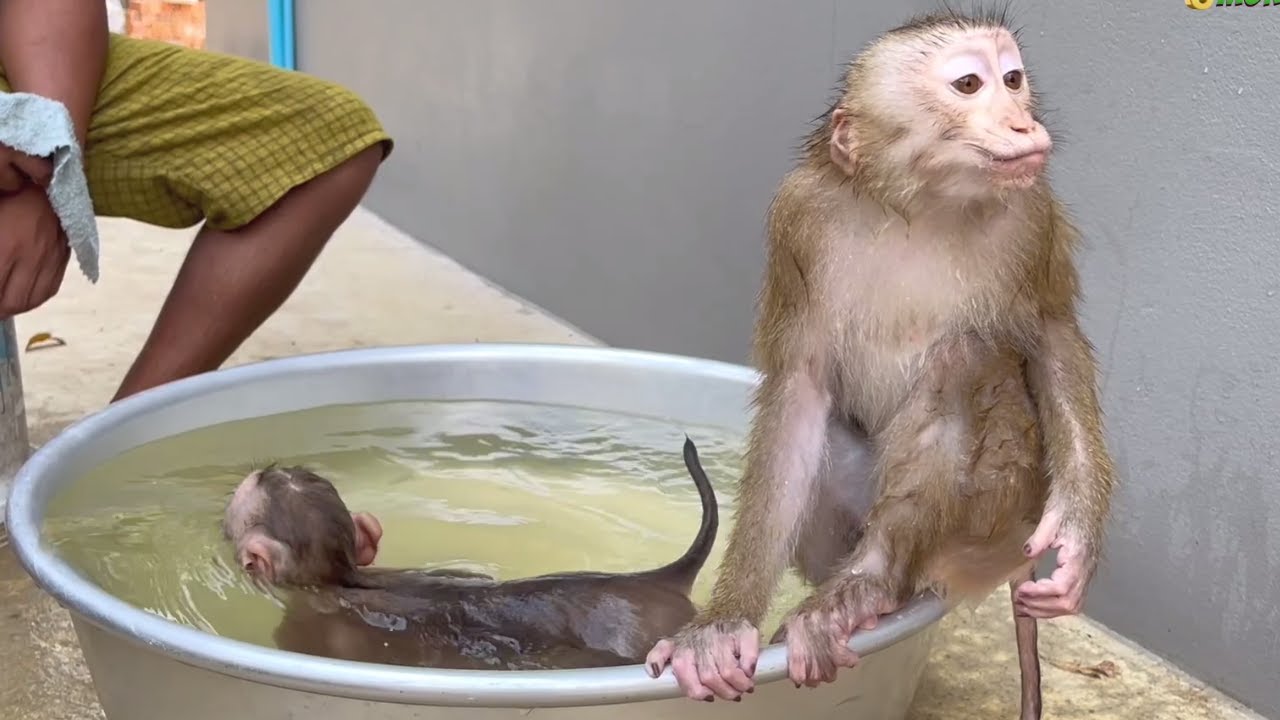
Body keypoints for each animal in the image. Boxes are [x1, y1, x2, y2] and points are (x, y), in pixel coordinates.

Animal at [644, 9, 1116, 719]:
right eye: (970, 84)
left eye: (1012, 79)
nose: (1022, 122)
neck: (924, 204)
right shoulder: (799, 221)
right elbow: (800, 392)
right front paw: (723, 624)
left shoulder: (1032, 217)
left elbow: (1052, 340)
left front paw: (1078, 537)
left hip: (997, 525)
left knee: (963, 359)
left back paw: (871, 586)